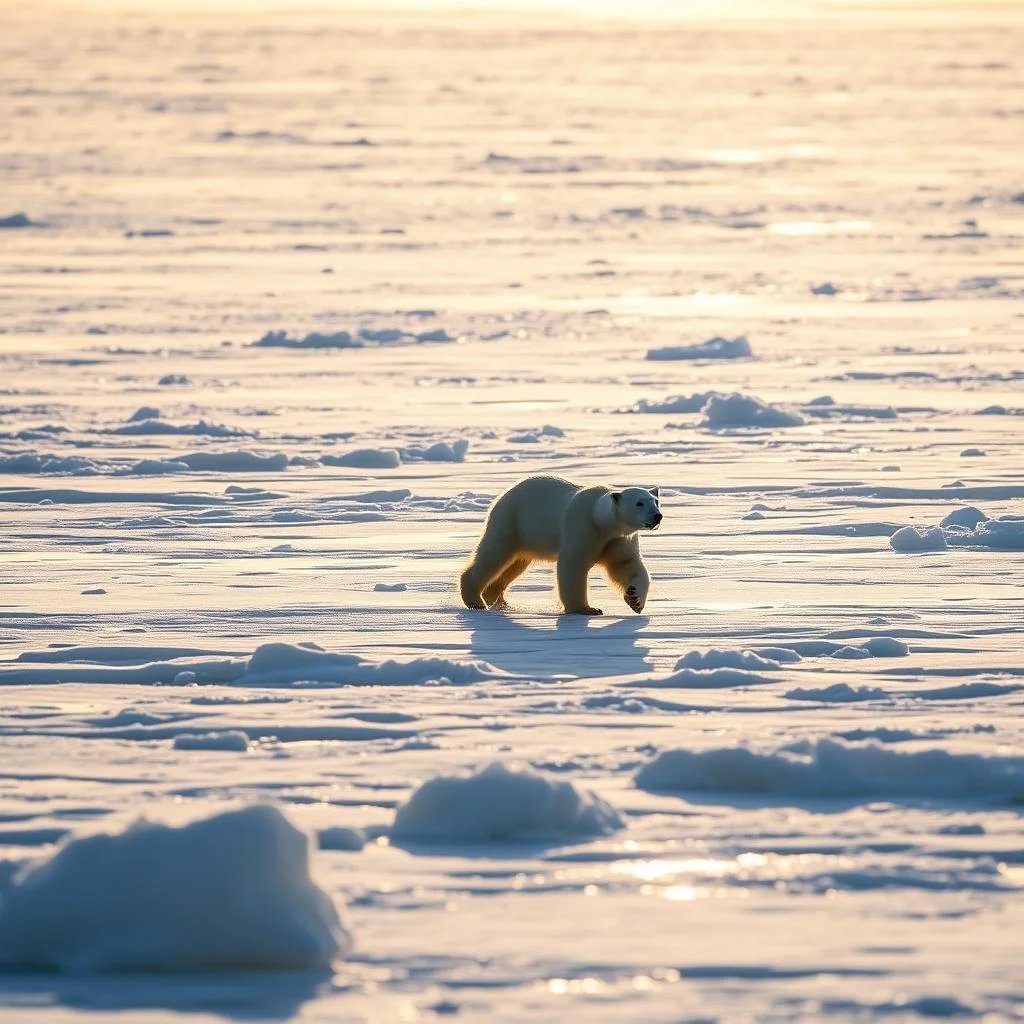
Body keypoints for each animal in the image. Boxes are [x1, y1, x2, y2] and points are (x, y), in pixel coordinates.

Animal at [460, 475, 662, 615]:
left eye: (656, 501)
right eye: (639, 503)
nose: (657, 516)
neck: (600, 520)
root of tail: (503, 495)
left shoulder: (618, 539)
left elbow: (625, 564)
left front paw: (635, 599)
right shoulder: (583, 526)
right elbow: (573, 564)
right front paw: (586, 609)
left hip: (527, 536)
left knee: (516, 563)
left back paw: (500, 602)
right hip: (511, 520)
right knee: (494, 553)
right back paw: (476, 601)